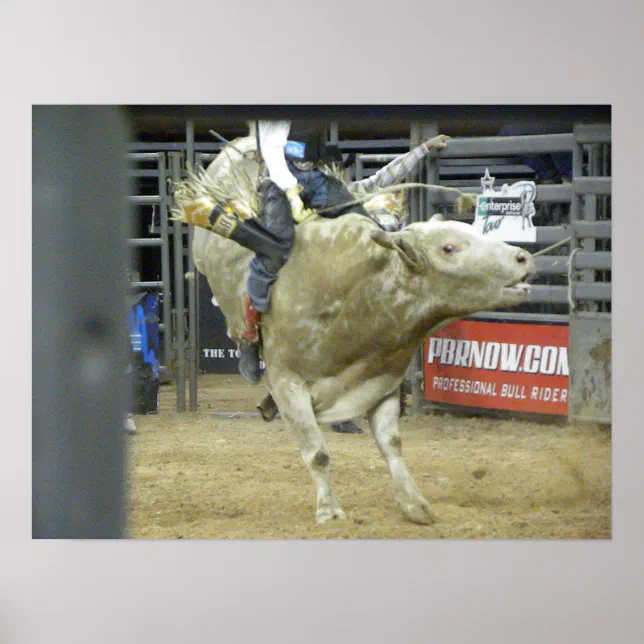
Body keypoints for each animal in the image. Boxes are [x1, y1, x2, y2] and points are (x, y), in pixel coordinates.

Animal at [186, 135, 534, 525]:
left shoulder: (380, 380)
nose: (522, 258)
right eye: (448, 247)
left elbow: (391, 445)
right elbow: (317, 452)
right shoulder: (286, 382)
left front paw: (414, 504)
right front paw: (329, 509)